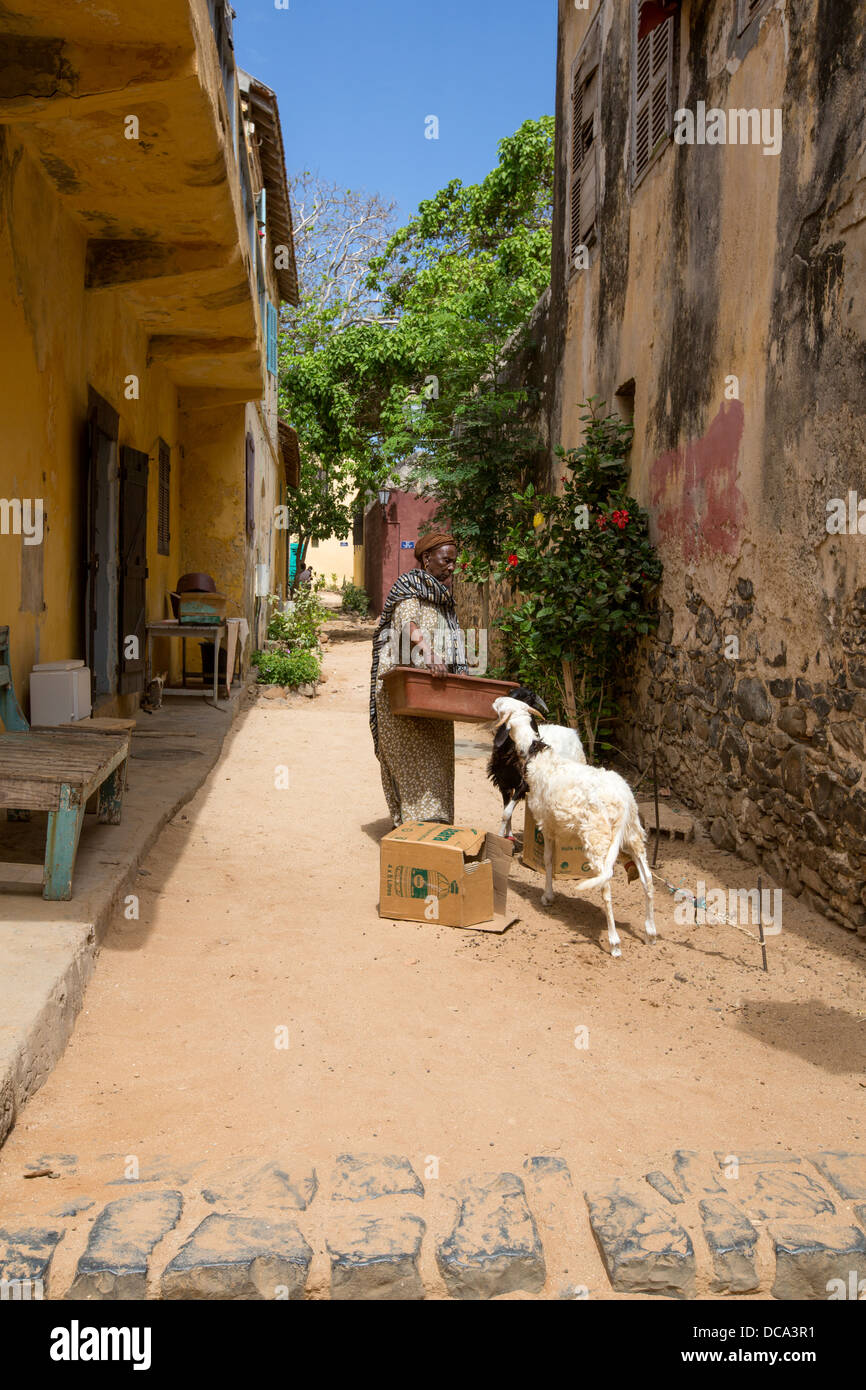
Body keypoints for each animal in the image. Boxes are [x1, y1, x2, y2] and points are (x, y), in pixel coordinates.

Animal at [487, 686, 586, 838]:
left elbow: (507, 812)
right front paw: (508, 836)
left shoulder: (523, 785)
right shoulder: (504, 783)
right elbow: (507, 812)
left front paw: (501, 836)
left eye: (528, 698)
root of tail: (571, 732)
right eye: (511, 693)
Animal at [492, 696, 655, 957]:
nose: (496, 699)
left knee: (606, 886)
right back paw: (650, 932)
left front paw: (547, 896)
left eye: (503, 706)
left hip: (598, 839)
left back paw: (614, 943)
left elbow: (548, 860)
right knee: (647, 879)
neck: (538, 754)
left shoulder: (547, 824)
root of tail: (623, 800)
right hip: (634, 836)